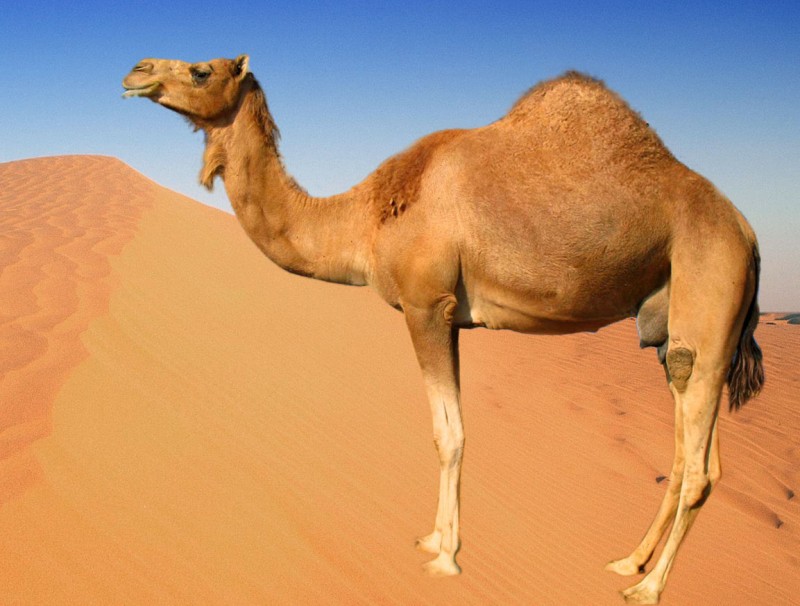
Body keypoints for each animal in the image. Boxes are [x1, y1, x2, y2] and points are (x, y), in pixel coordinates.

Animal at [122, 55, 764, 604]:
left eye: (200, 69)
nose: (135, 71)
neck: (364, 218)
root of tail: (748, 233)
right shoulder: (450, 315)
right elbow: (446, 428)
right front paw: (434, 538)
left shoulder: (425, 304)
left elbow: (448, 433)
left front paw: (446, 557)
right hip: (672, 329)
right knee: (691, 451)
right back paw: (628, 561)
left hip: (710, 291)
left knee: (699, 467)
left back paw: (648, 588)